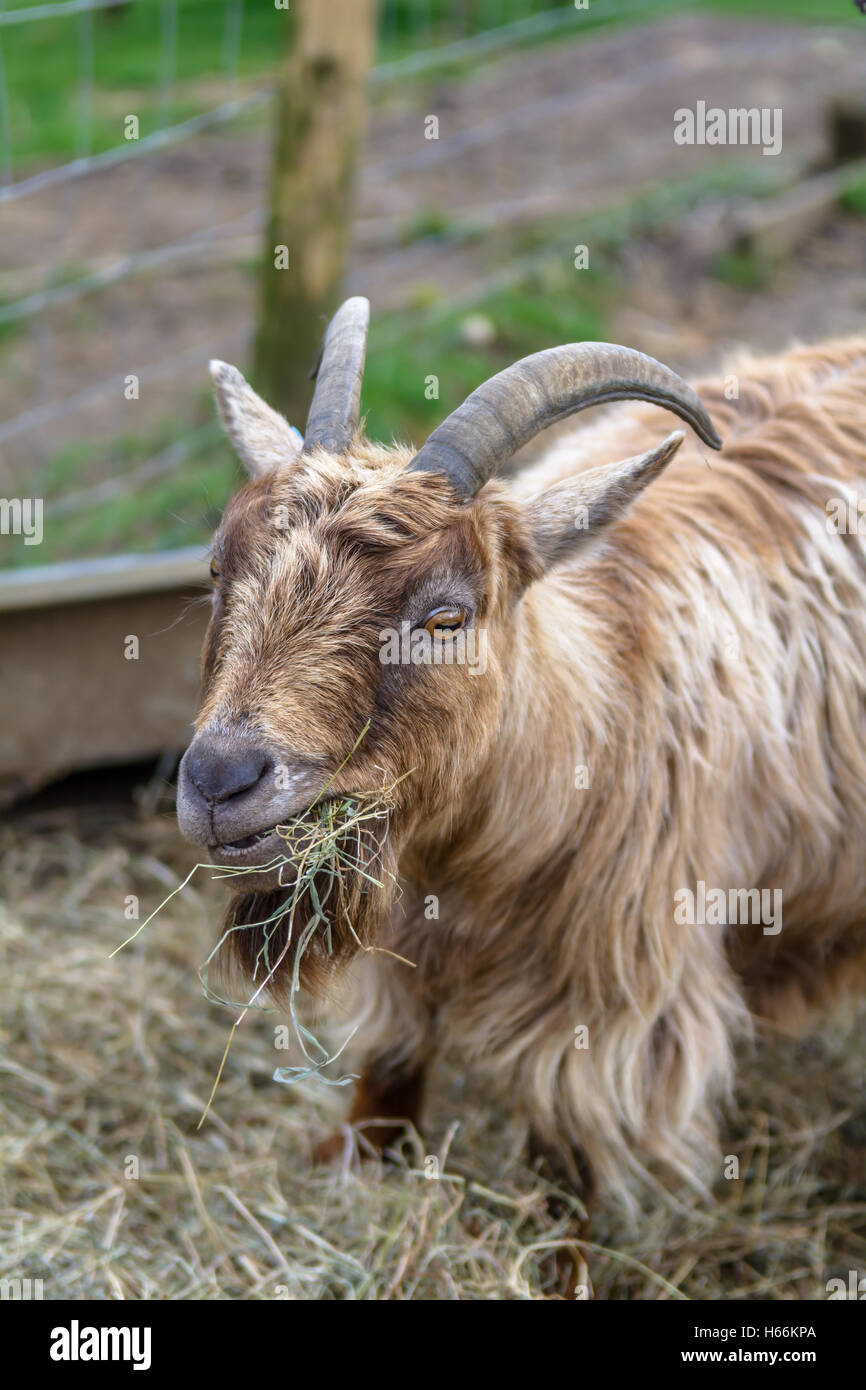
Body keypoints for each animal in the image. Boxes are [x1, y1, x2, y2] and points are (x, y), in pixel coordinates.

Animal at [176, 297, 866, 1206]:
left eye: (446, 616)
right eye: (219, 568)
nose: (220, 780)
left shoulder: (603, 1014)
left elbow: (563, 1161)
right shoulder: (404, 959)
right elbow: (390, 1071)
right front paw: (353, 1165)